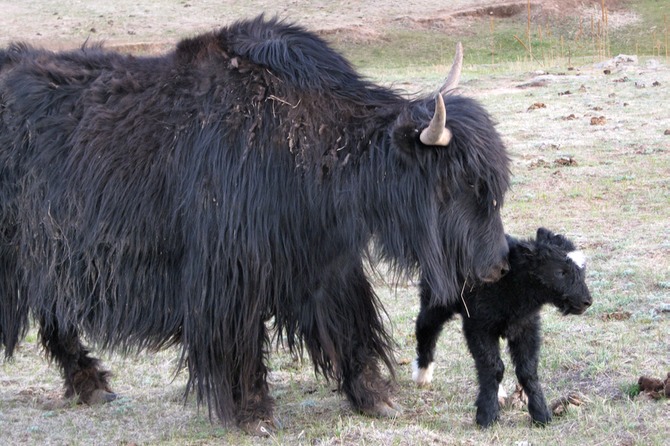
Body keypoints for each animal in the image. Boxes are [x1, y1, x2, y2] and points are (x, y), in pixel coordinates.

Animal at [0, 15, 510, 434]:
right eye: (461, 182)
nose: (498, 267)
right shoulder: (231, 271)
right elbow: (240, 341)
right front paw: (254, 414)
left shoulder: (323, 262)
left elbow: (350, 324)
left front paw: (376, 397)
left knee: (56, 317)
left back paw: (93, 386)